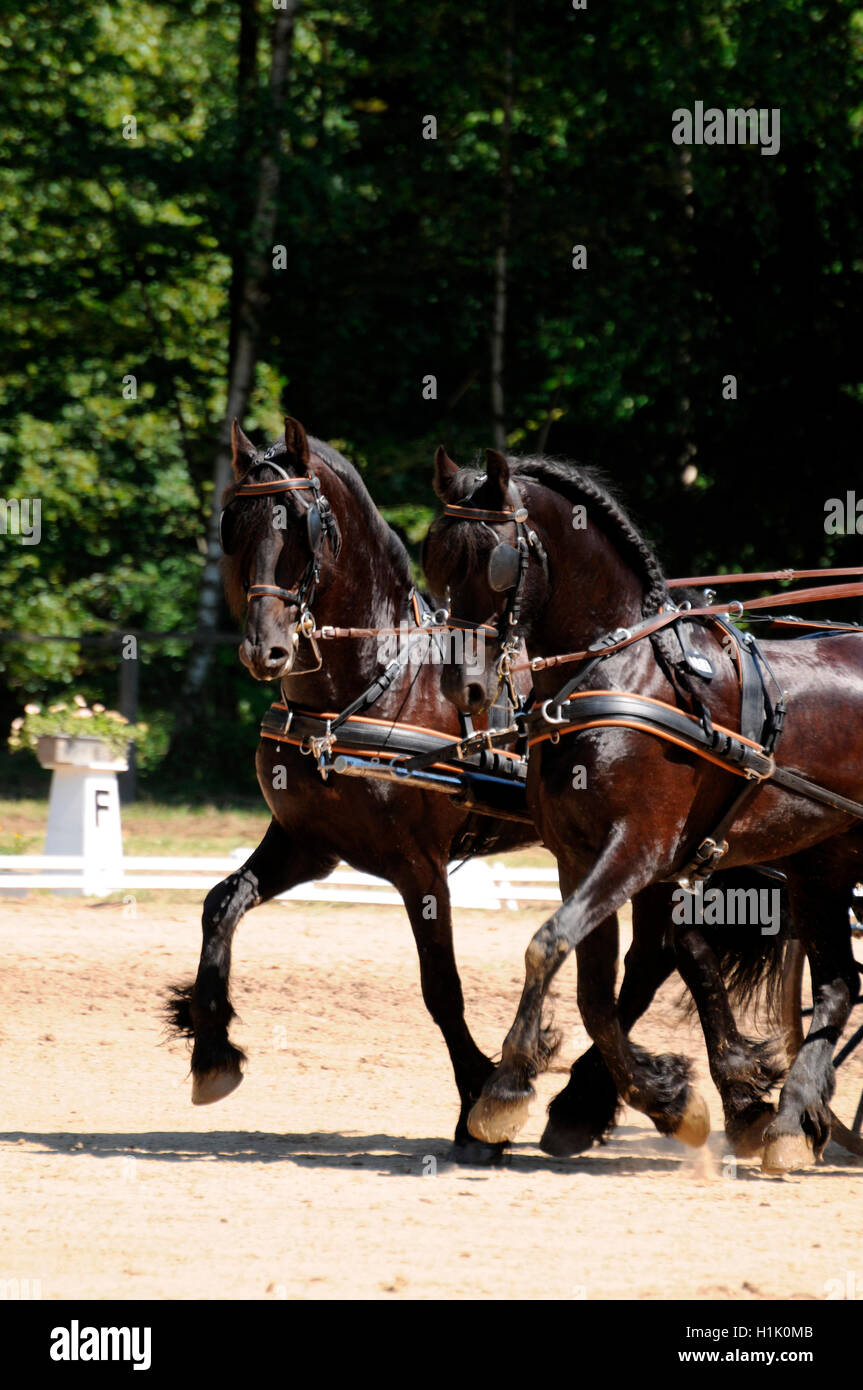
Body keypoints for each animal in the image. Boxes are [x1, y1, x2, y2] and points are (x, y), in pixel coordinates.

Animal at [423, 444, 862, 1172]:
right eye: (434, 555)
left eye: (495, 562)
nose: (466, 687)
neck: (622, 674)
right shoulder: (579, 857)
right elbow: (592, 992)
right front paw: (670, 1102)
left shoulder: (637, 850)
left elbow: (548, 946)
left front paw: (505, 1093)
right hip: (818, 861)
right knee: (835, 985)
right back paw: (790, 1124)